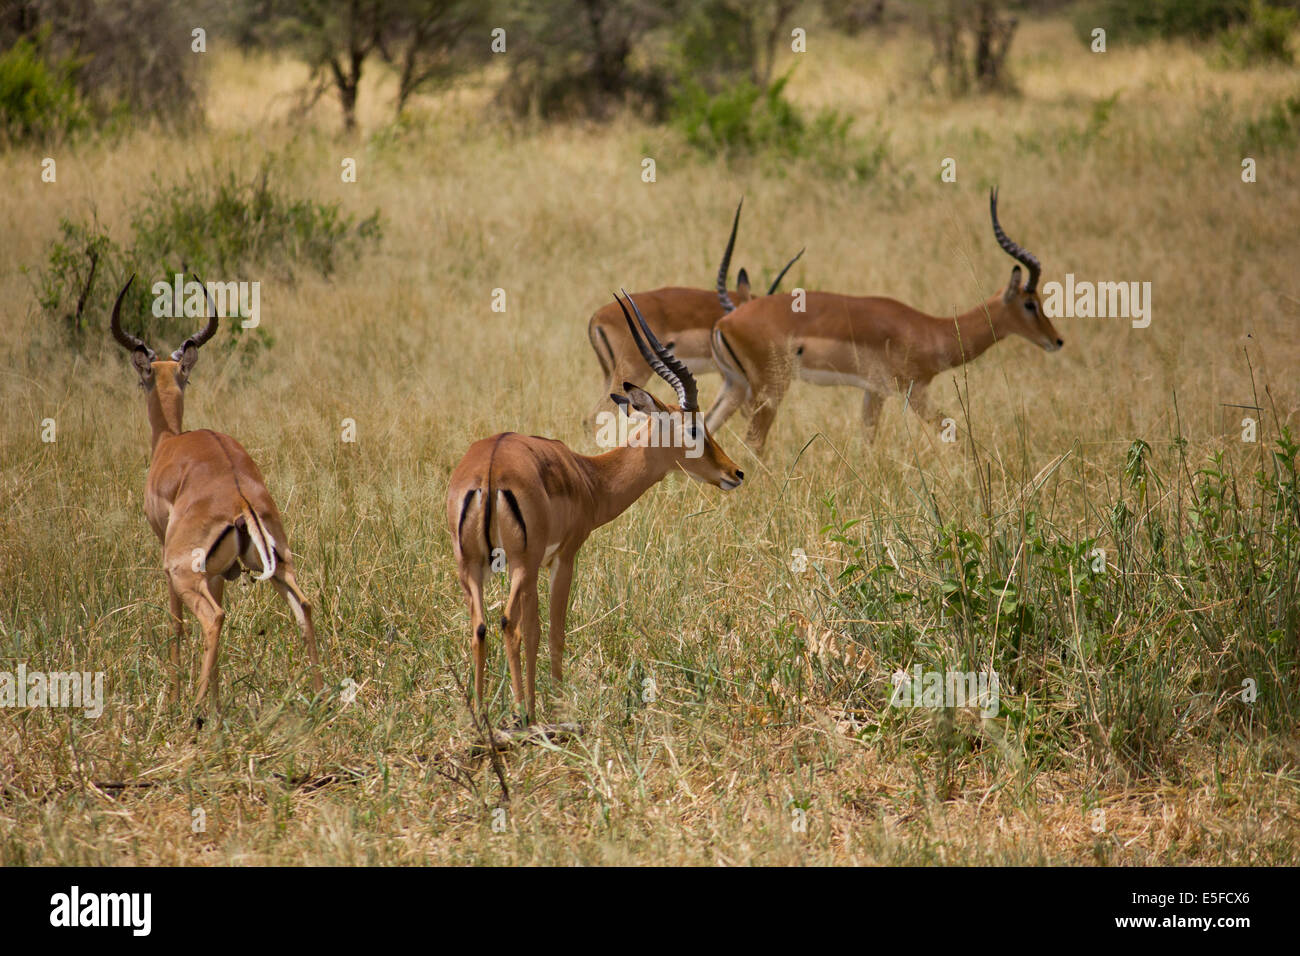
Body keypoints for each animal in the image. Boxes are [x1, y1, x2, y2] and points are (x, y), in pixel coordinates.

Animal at [109, 274, 323, 718]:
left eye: (142, 378)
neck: (170, 442)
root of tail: (242, 502)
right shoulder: (221, 572)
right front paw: (220, 699)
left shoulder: (168, 556)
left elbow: (175, 623)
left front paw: (175, 698)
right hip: (278, 562)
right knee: (304, 605)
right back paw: (321, 696)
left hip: (184, 570)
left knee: (212, 618)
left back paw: (194, 713)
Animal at [449, 293, 744, 725]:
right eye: (694, 428)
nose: (735, 472)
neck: (587, 475)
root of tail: (488, 472)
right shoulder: (562, 558)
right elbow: (552, 631)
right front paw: (552, 709)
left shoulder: (540, 565)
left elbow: (536, 629)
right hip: (518, 563)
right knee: (507, 624)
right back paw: (520, 716)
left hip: (472, 566)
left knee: (481, 627)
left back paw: (482, 716)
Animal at [705, 189, 1063, 455]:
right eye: (1030, 303)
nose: (1057, 340)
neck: (932, 330)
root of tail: (725, 323)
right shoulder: (914, 391)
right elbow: (953, 431)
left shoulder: (873, 392)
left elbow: (867, 442)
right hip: (770, 389)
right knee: (753, 443)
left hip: (735, 386)